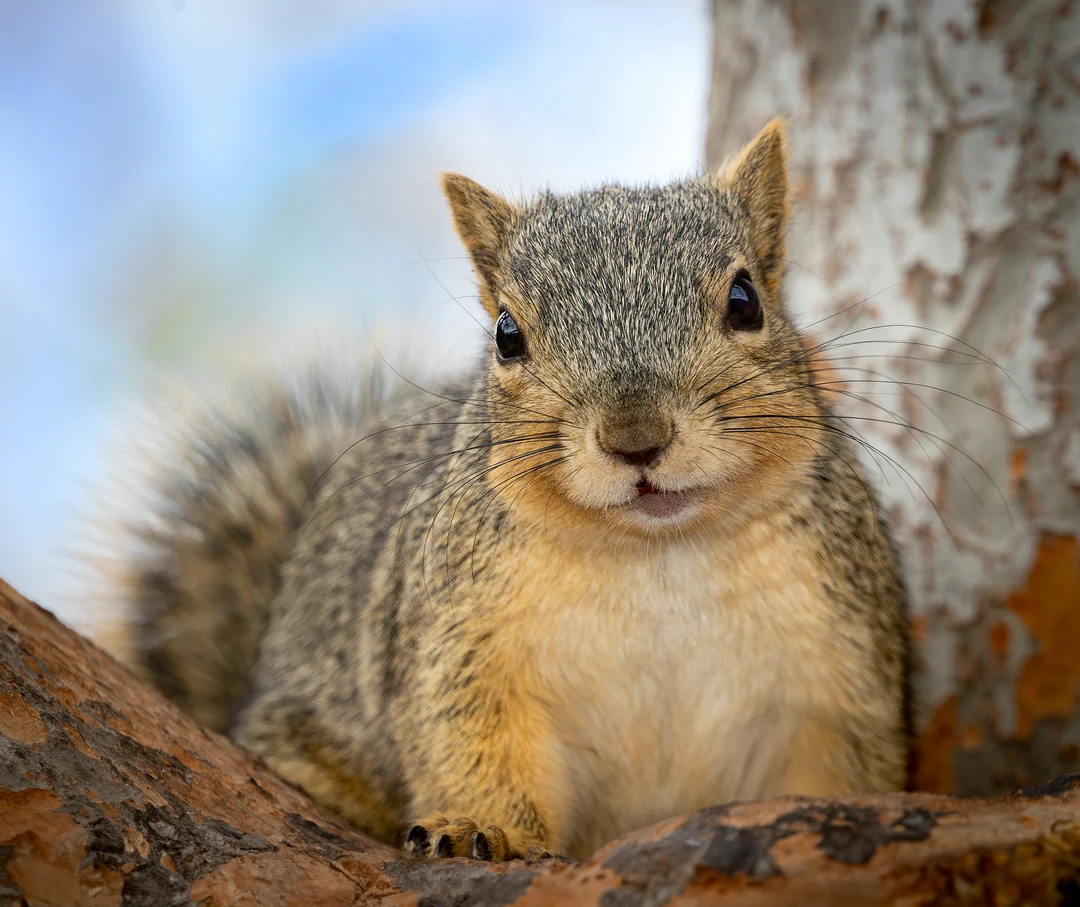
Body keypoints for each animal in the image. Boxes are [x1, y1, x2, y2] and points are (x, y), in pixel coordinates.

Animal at [98, 119, 909, 862]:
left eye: (746, 301)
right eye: (506, 334)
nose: (635, 438)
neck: (658, 557)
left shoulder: (836, 673)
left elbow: (843, 768)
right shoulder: (462, 645)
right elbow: (472, 745)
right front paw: (481, 830)